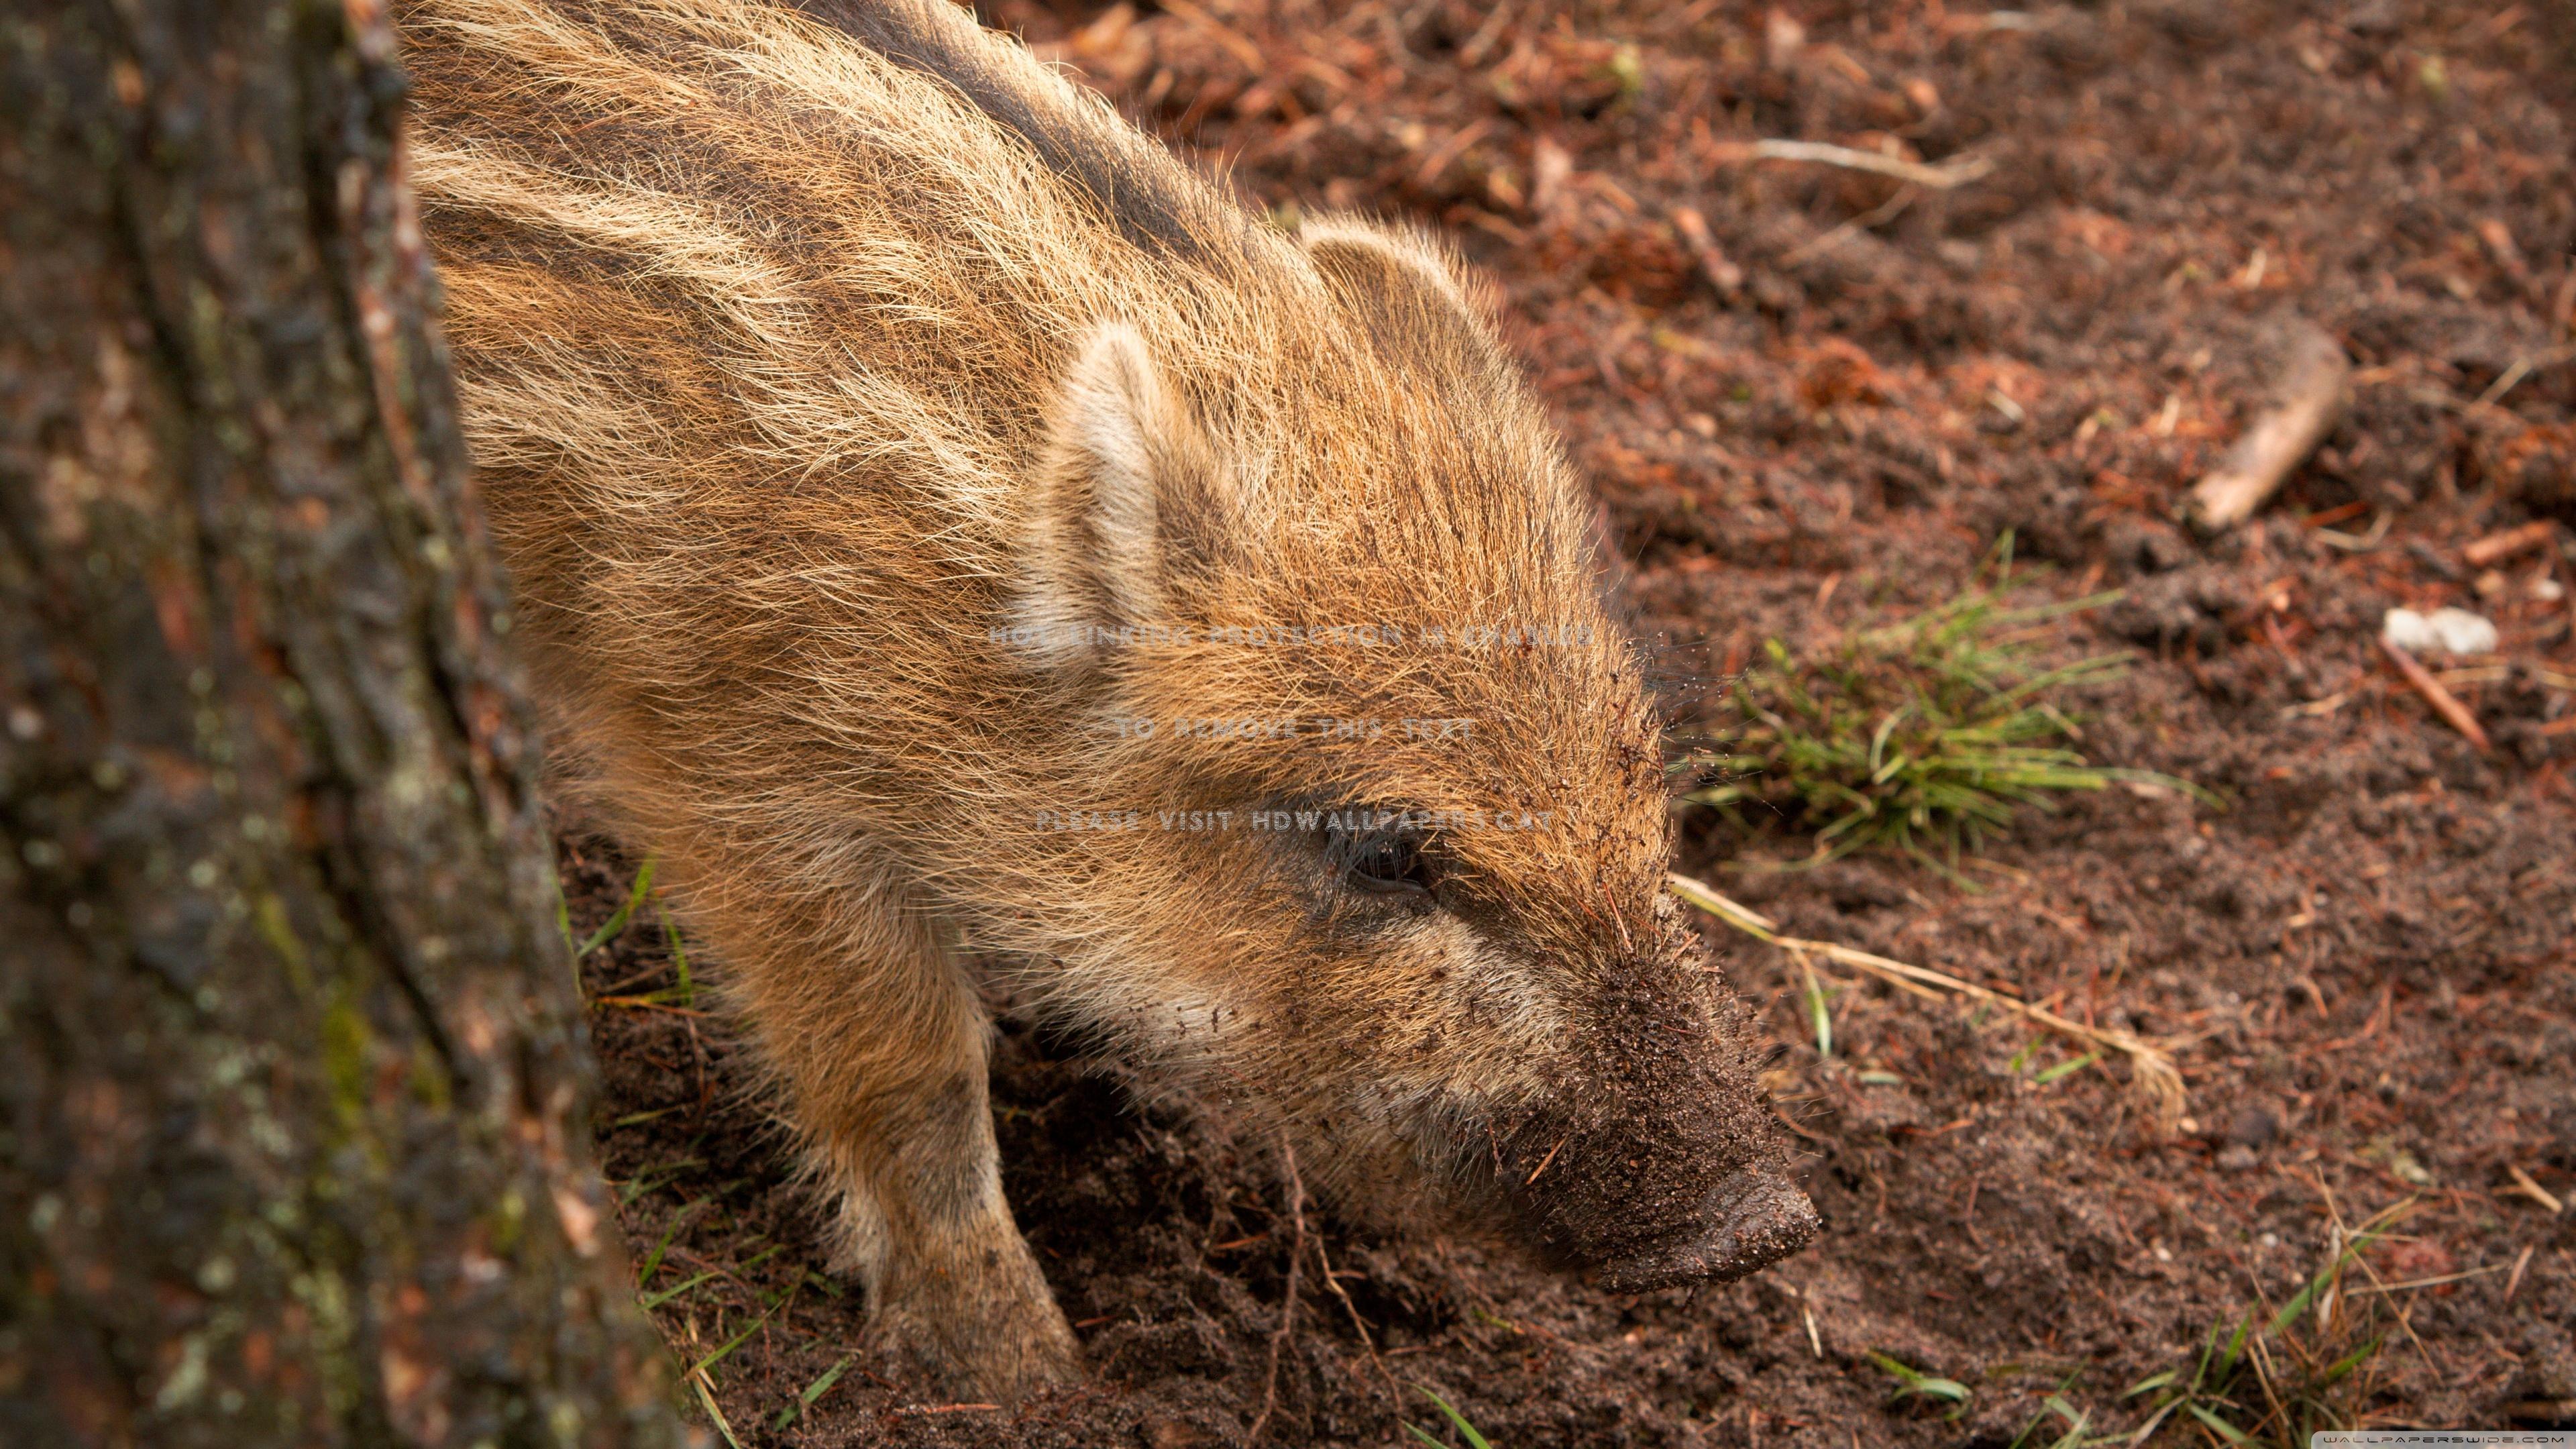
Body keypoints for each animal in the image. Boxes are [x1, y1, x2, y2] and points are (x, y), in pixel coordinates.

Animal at [397, 0, 1817, 1400]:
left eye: (1640, 773)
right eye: (1378, 850)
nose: (1764, 1225)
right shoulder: (728, 750)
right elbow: (904, 1059)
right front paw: (1019, 1373)